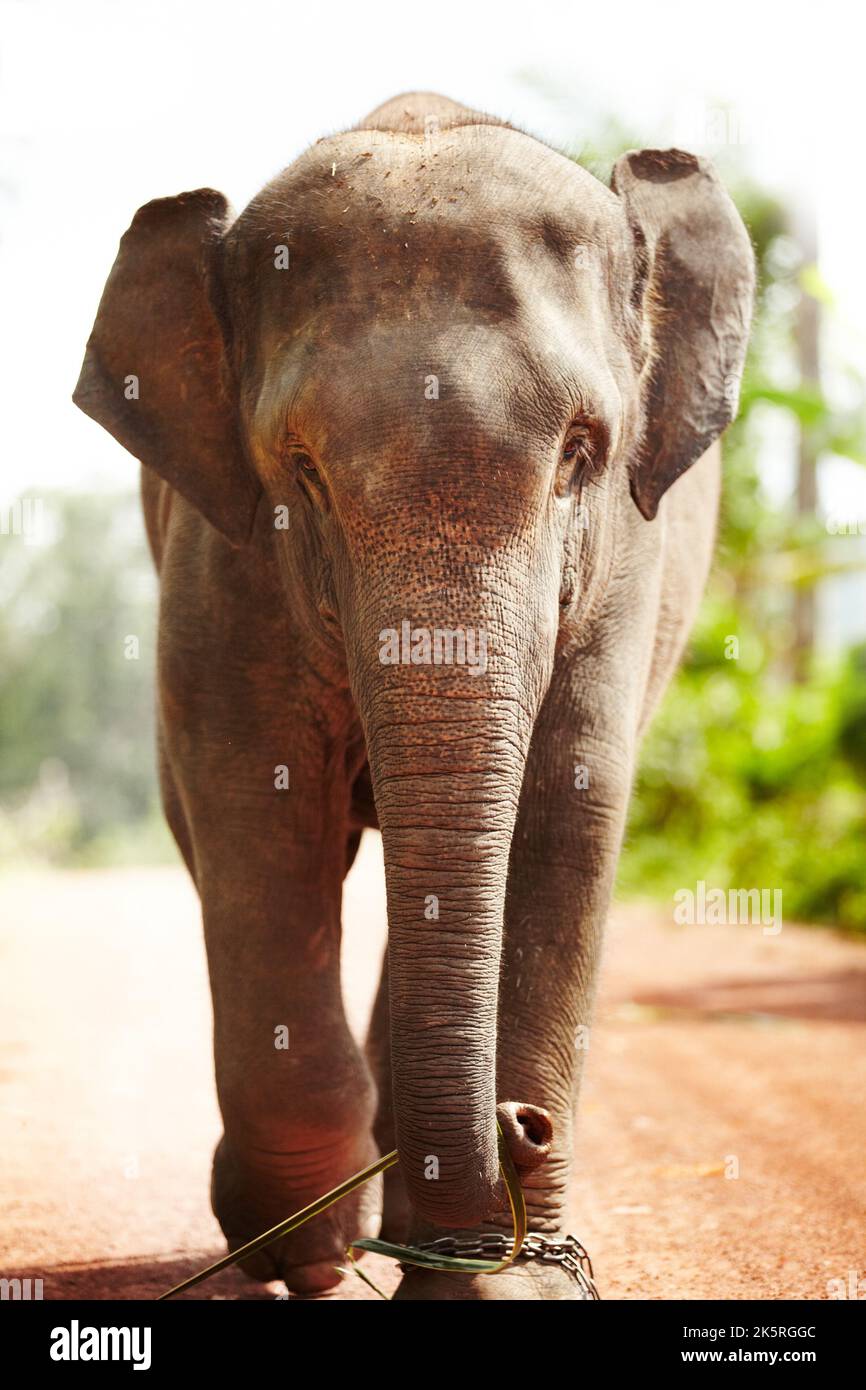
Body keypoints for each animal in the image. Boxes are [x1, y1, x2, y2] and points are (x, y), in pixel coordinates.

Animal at [73, 91, 754, 1300]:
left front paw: (500, 1281)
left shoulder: (624, 562)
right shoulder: (223, 560)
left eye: (581, 454)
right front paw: (306, 1256)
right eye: (300, 470)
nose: (522, 1125)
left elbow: (568, 807)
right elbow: (255, 812)